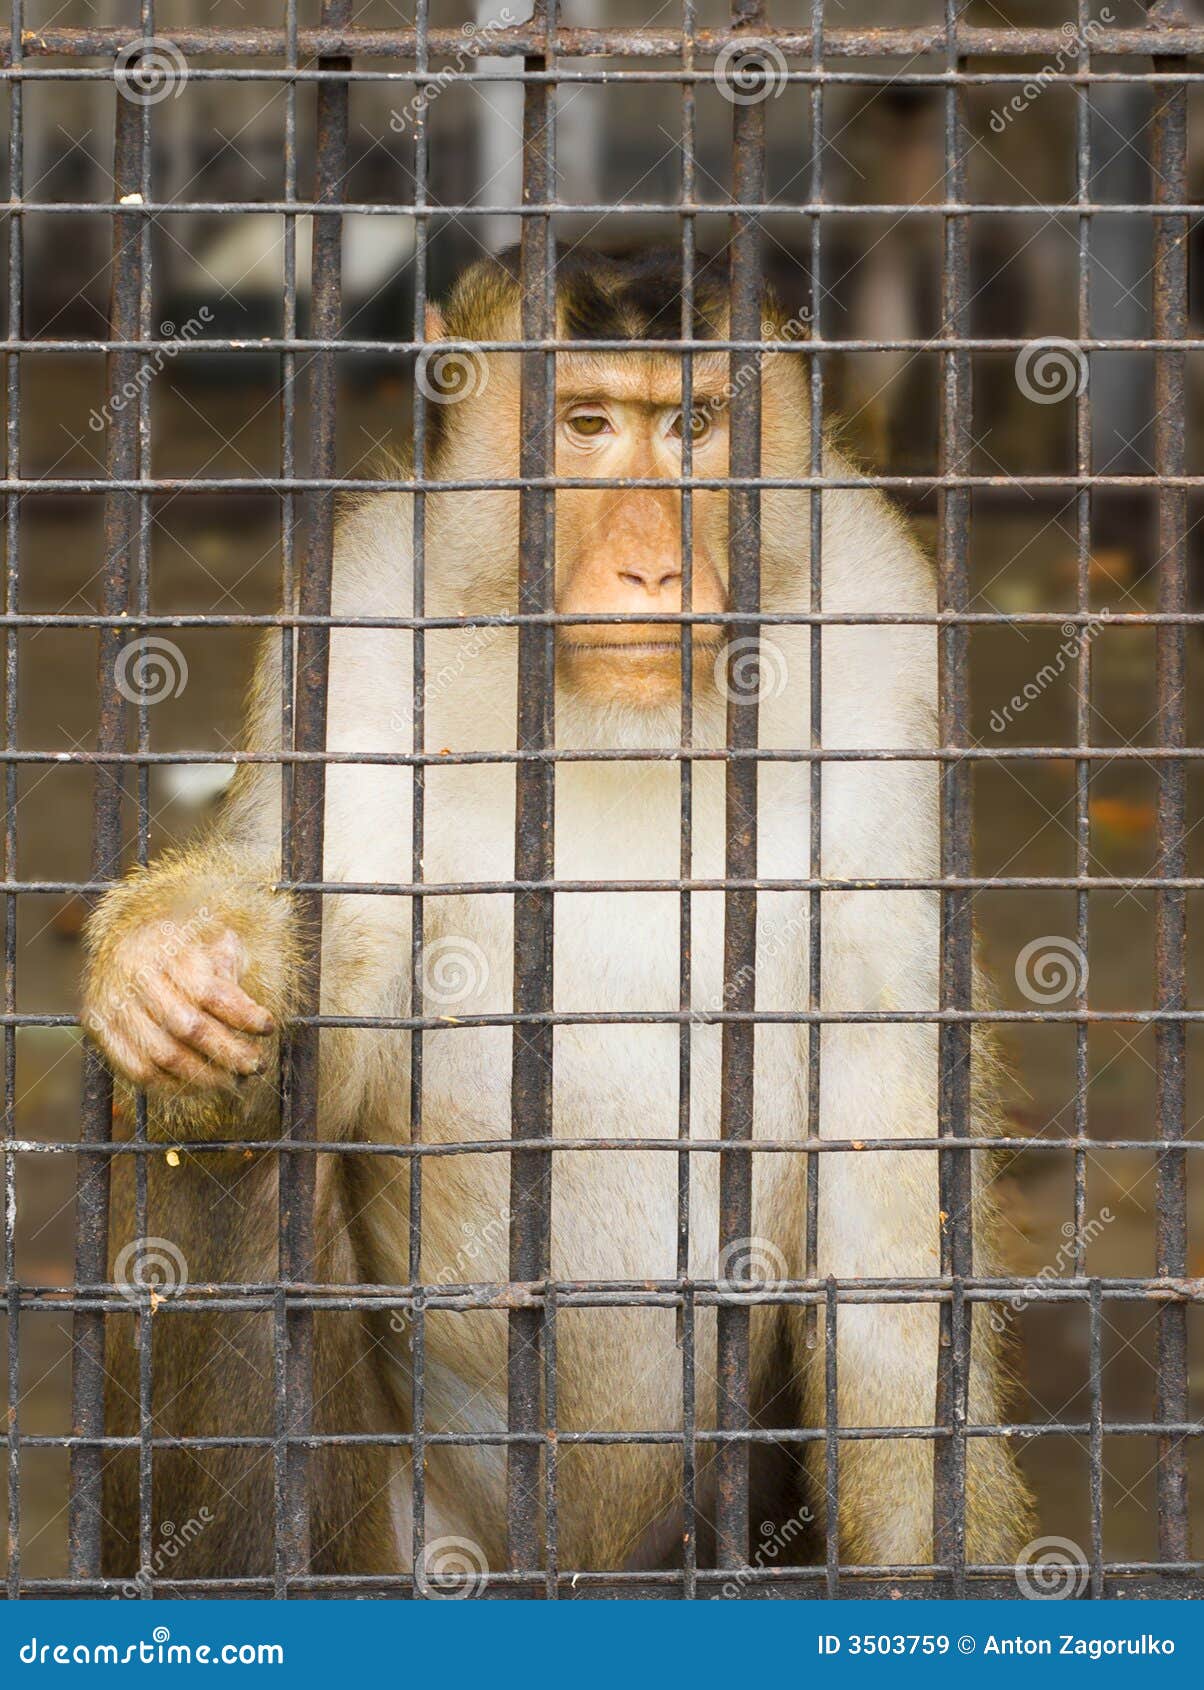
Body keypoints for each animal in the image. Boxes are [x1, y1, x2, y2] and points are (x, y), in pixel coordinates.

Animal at [81, 245, 1036, 1585]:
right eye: (584, 427)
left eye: (693, 427)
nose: (650, 569)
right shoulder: (358, 638)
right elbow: (327, 993)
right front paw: (171, 965)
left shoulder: (882, 644)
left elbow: (892, 1202)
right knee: (243, 1169)